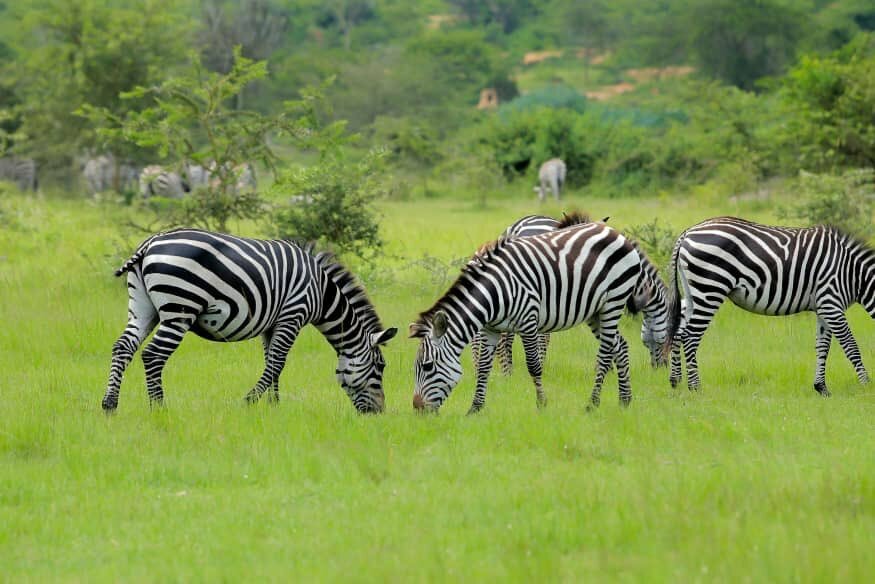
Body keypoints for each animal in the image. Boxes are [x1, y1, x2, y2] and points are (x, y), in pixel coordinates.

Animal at [102, 229, 398, 412]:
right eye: (380, 367)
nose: (379, 413)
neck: (322, 293)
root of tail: (151, 243)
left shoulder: (273, 324)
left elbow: (272, 363)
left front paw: (273, 405)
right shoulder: (293, 314)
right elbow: (277, 362)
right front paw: (249, 401)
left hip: (143, 308)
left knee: (123, 347)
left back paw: (109, 404)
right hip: (180, 309)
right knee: (153, 355)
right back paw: (159, 407)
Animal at [411, 219, 670, 413]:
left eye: (428, 366)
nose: (418, 409)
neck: (494, 292)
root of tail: (616, 232)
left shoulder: (528, 320)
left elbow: (534, 365)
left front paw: (542, 403)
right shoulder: (491, 328)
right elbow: (484, 366)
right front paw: (475, 408)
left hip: (613, 302)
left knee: (606, 353)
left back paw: (592, 403)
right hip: (595, 311)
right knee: (621, 346)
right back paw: (625, 400)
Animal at [663, 216, 875, 395]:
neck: (854, 273)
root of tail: (687, 232)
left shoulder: (823, 307)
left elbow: (823, 347)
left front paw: (821, 388)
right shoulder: (831, 303)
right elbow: (851, 346)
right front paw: (866, 385)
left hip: (693, 292)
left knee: (679, 333)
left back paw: (675, 381)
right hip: (710, 289)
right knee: (691, 336)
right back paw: (695, 388)